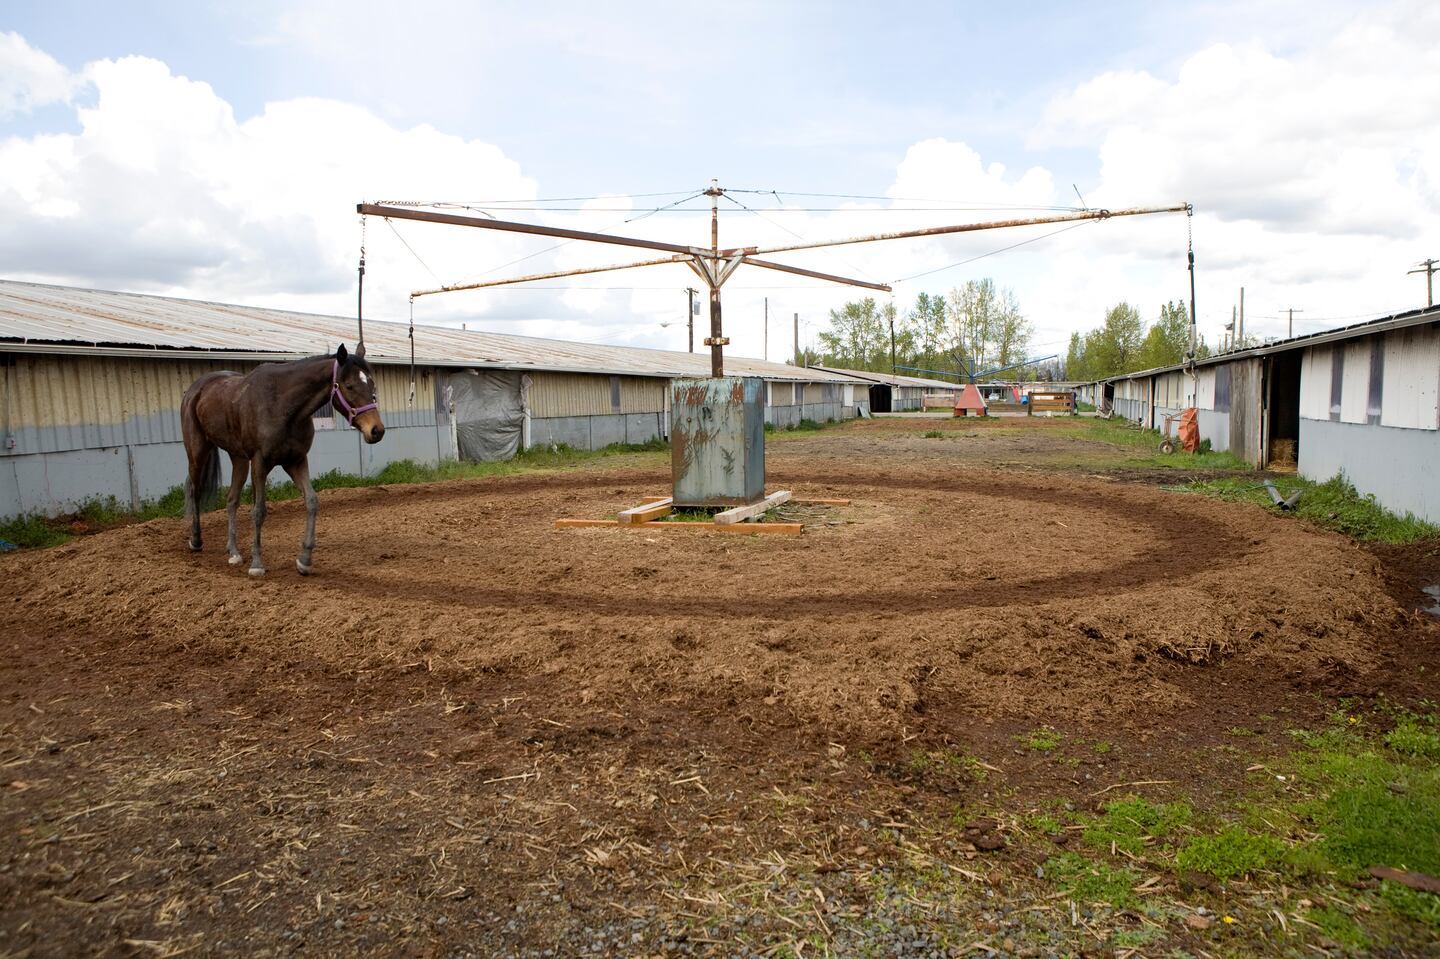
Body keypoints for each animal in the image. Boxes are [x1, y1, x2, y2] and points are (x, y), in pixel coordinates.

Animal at [181, 343, 385, 577]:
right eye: (349, 386)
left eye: (371, 384)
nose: (376, 430)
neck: (283, 406)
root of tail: (196, 389)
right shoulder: (259, 463)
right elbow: (259, 511)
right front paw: (257, 564)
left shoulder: (296, 461)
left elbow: (312, 501)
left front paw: (304, 560)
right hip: (197, 452)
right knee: (195, 491)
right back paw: (196, 541)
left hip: (238, 458)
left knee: (232, 500)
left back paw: (233, 552)